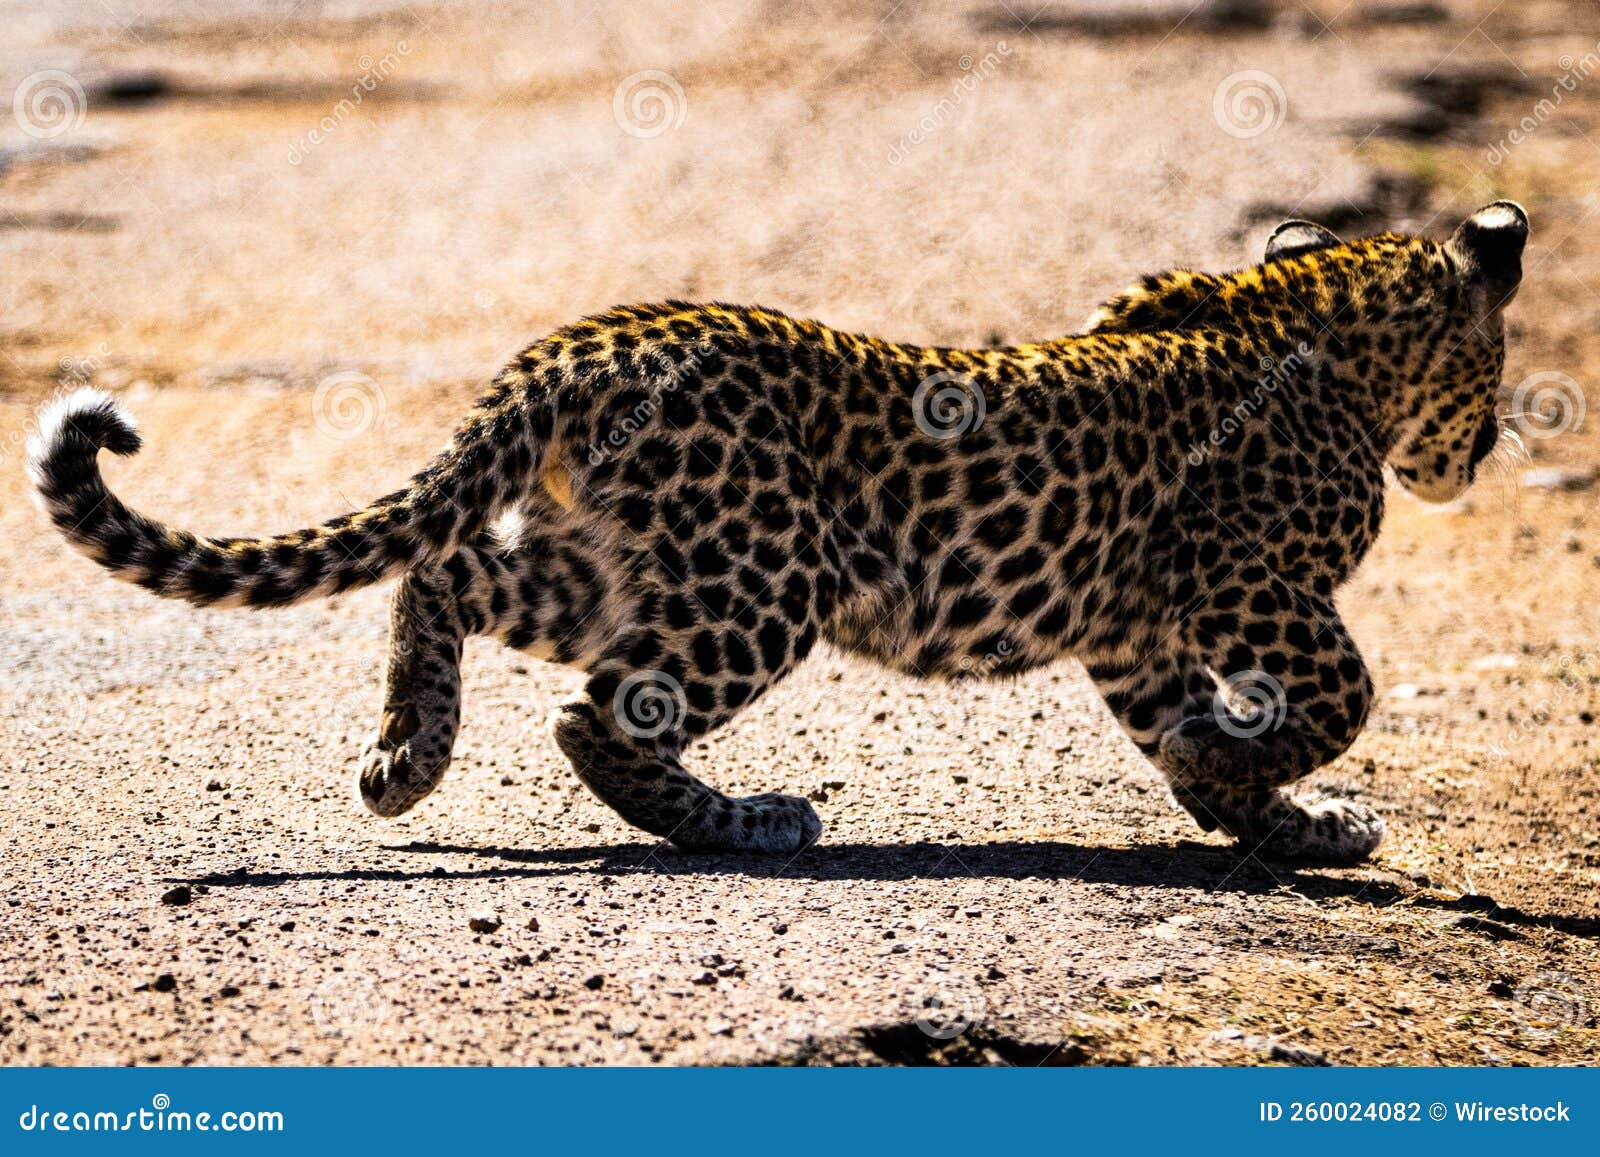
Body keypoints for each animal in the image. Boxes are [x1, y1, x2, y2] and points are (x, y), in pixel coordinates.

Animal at [28, 201, 1527, 865]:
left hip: (625, 557)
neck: (1318, 308)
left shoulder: (1136, 630)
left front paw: (1282, 820)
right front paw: (1257, 771)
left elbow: (1192, 738)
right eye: (1500, 371)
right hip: (762, 574)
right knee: (595, 714)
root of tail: (573, 343)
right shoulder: (1242, 586)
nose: (1491, 447)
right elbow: (1339, 691)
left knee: (448, 572)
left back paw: (407, 755)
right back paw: (749, 821)